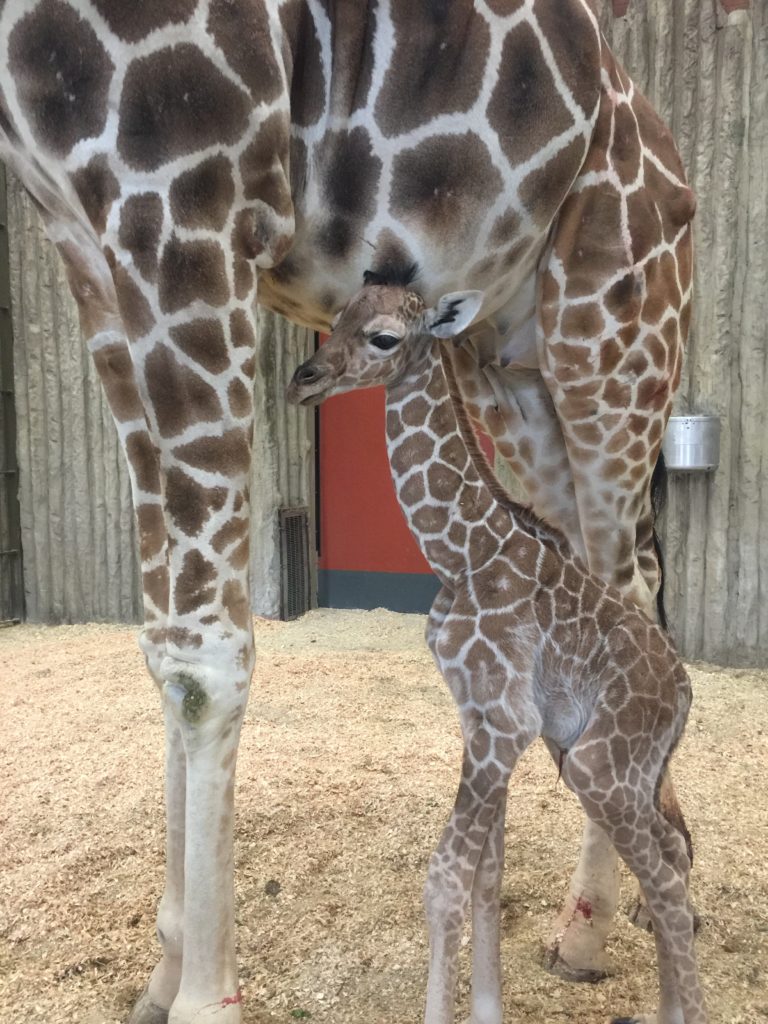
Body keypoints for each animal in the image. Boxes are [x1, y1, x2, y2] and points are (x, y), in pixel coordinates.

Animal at [287, 281, 704, 1024]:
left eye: (383, 338)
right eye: (334, 320)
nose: (303, 380)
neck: (460, 553)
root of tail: (685, 694)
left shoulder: (501, 723)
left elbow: (446, 879)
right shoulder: (482, 721)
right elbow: (488, 875)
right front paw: (487, 1006)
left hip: (601, 766)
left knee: (665, 877)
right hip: (607, 764)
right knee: (672, 859)